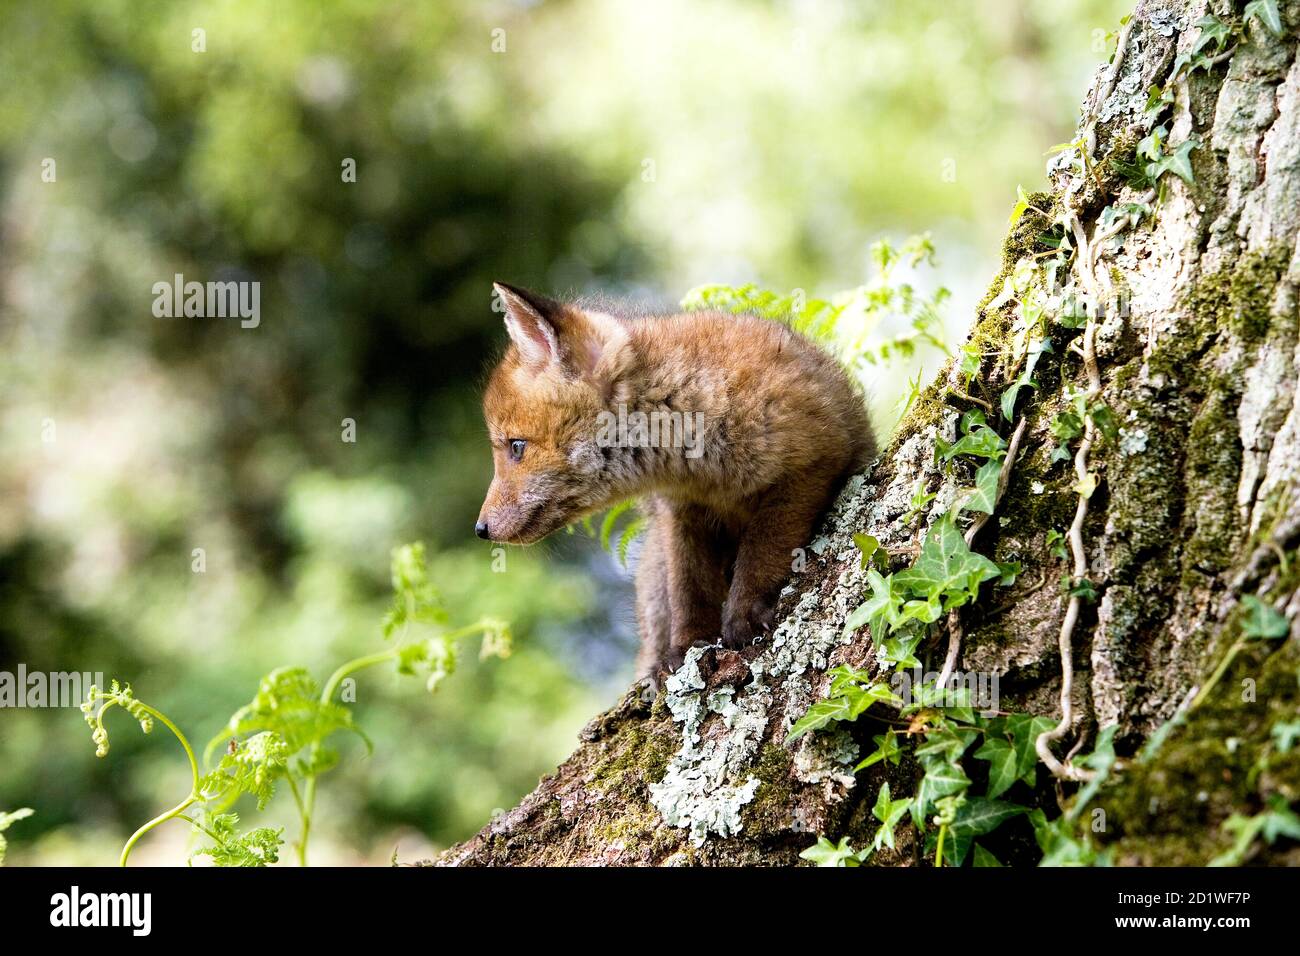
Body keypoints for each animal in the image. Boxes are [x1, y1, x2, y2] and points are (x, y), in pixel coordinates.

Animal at [476, 283, 876, 686]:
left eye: (516, 447)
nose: (480, 529)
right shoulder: (681, 511)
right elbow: (689, 589)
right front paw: (687, 648)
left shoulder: (811, 461)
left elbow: (764, 547)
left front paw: (744, 611)